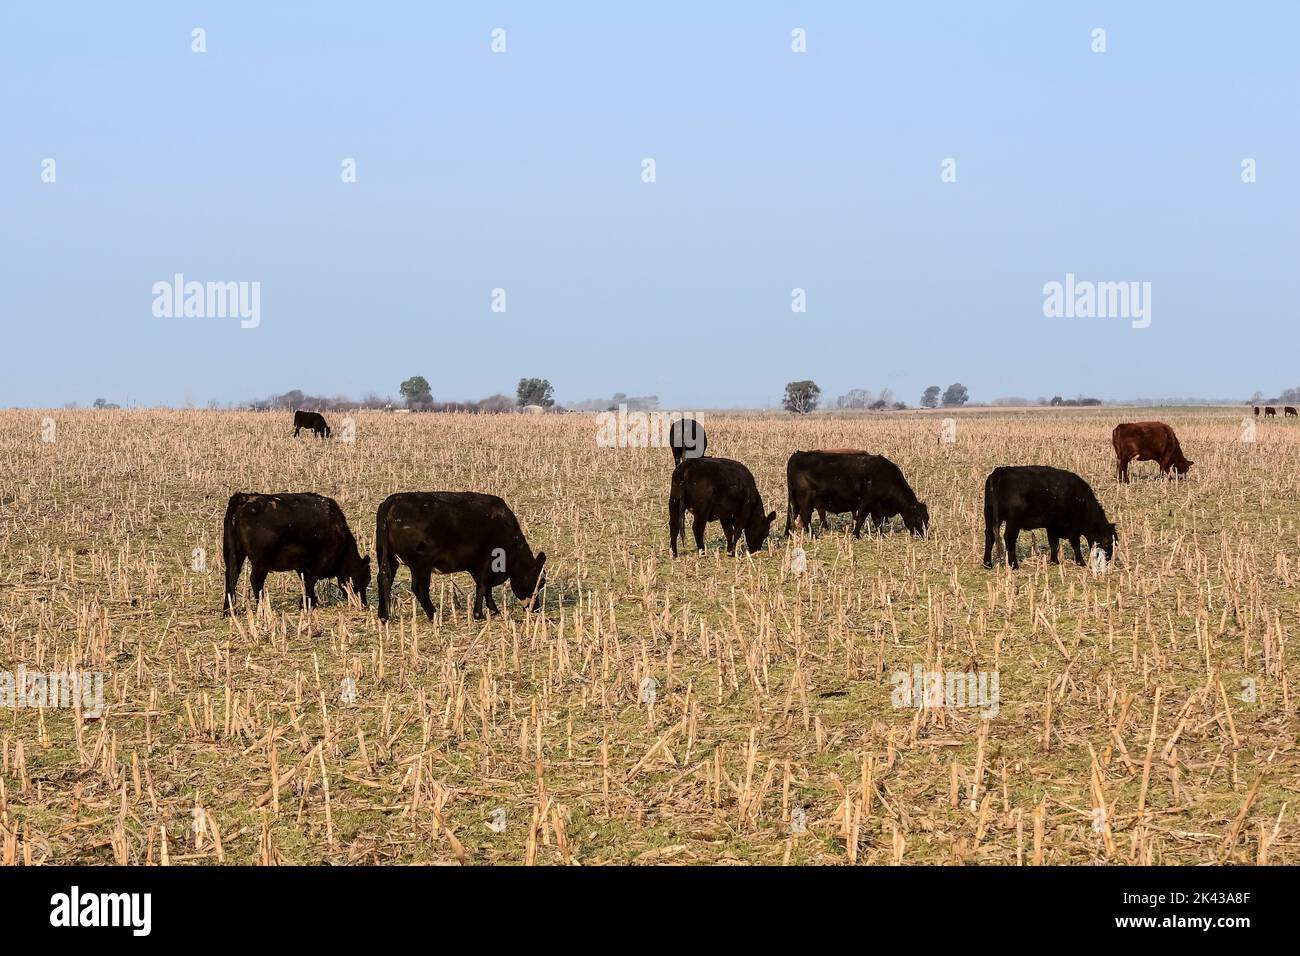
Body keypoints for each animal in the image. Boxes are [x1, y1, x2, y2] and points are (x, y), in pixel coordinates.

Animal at [222, 492, 370, 613]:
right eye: (365, 578)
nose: (363, 604)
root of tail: (244, 497)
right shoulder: (320, 562)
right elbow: (310, 581)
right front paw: (305, 605)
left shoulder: (302, 566)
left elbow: (306, 582)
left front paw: (311, 603)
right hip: (261, 561)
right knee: (255, 580)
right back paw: (262, 609)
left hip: (235, 554)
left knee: (232, 576)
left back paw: (229, 611)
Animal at [375, 492, 546, 621]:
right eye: (540, 582)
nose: (536, 608)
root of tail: (394, 499)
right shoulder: (489, 562)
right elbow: (483, 586)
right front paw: (479, 614)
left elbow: (486, 588)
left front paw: (494, 610)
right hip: (420, 564)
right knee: (419, 588)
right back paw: (434, 614)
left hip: (389, 558)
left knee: (383, 580)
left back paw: (383, 616)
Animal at [785, 450, 928, 538]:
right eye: (918, 517)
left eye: (927, 518)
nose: (925, 535)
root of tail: (798, 454)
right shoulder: (868, 502)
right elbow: (861, 518)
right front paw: (855, 534)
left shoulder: (876, 506)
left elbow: (877, 521)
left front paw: (881, 535)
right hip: (805, 500)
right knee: (805, 517)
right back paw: (813, 535)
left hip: (795, 501)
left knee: (792, 515)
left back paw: (789, 534)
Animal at [982, 466, 1117, 570]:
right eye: (1107, 542)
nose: (1108, 561)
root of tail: (1001, 471)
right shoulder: (1073, 528)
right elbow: (1075, 544)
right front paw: (1081, 562)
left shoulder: (1052, 525)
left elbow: (1053, 542)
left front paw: (1054, 561)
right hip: (1013, 521)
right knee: (1009, 538)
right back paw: (1014, 565)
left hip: (989, 514)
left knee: (990, 535)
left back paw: (987, 564)